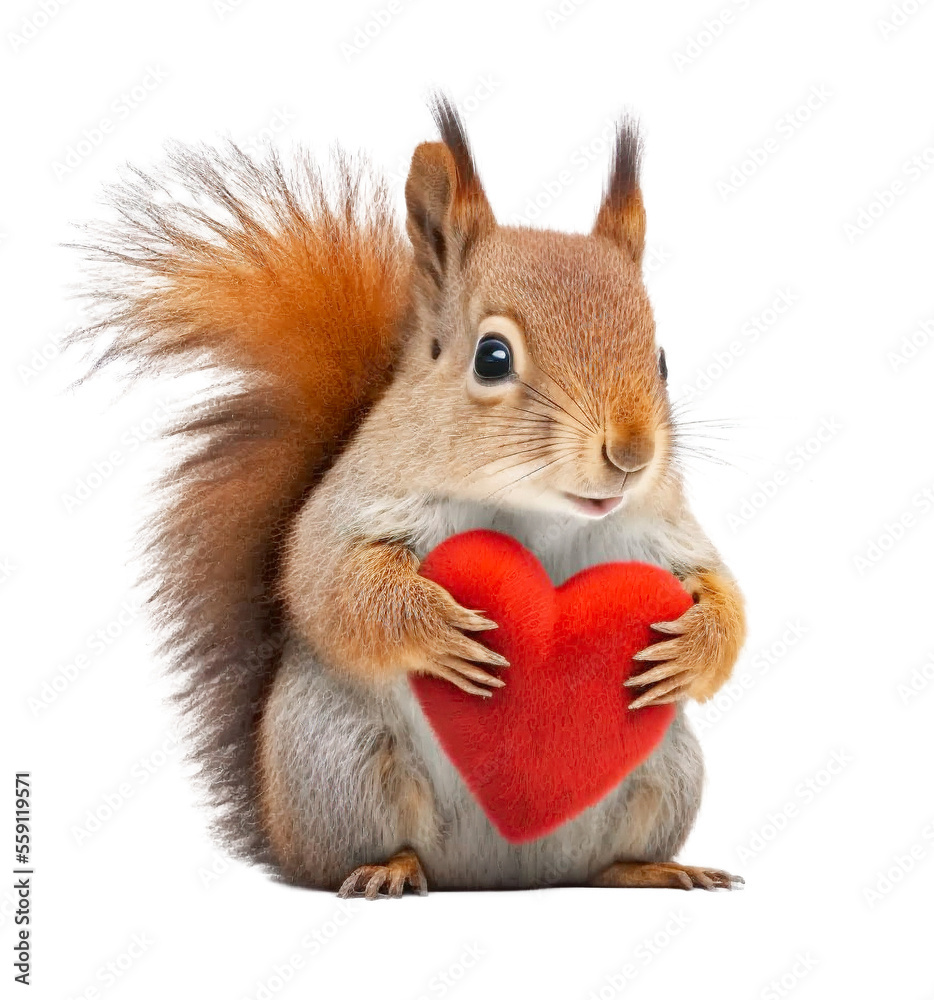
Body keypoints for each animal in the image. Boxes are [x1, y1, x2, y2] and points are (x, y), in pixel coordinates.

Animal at [76, 96, 746, 897]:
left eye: (662, 361)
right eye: (492, 357)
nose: (632, 453)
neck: (538, 514)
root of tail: (498, 877)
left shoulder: (659, 526)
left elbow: (723, 590)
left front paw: (694, 647)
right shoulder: (354, 503)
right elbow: (329, 580)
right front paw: (439, 627)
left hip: (666, 773)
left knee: (608, 856)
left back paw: (654, 867)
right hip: (340, 759)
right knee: (368, 844)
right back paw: (386, 869)